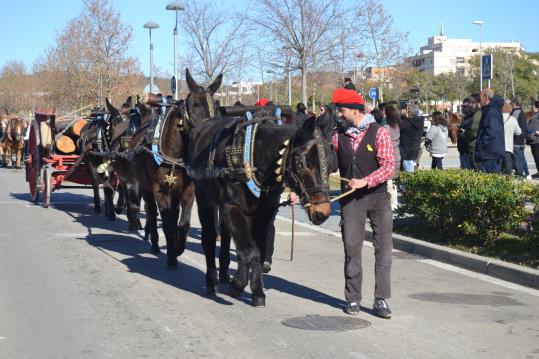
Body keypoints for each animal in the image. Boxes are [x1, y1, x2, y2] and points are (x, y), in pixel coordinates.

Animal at [188, 107, 336, 306]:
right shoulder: (232, 208)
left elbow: (257, 250)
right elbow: (248, 251)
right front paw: (237, 286)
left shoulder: (264, 212)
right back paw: (212, 282)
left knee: (227, 238)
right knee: (209, 237)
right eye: (306, 162)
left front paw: (257, 291)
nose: (323, 212)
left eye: (331, 163)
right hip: (204, 197)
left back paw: (225, 274)